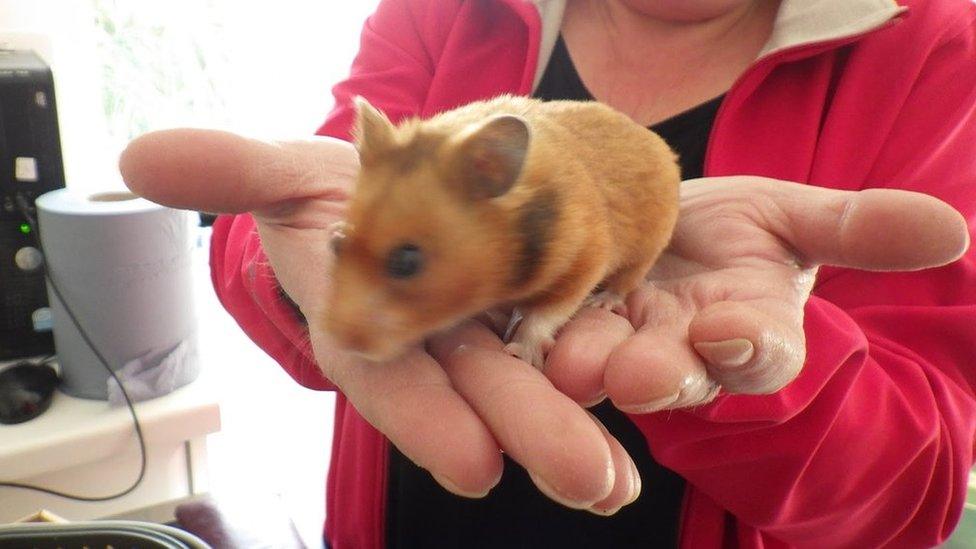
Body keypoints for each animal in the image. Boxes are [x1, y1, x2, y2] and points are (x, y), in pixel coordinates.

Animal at [323, 95, 680, 369]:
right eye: (338, 245)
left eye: (407, 261)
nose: (339, 342)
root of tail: (658, 143)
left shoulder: (586, 260)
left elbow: (545, 315)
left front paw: (520, 353)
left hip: (650, 243)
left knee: (628, 278)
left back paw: (603, 302)